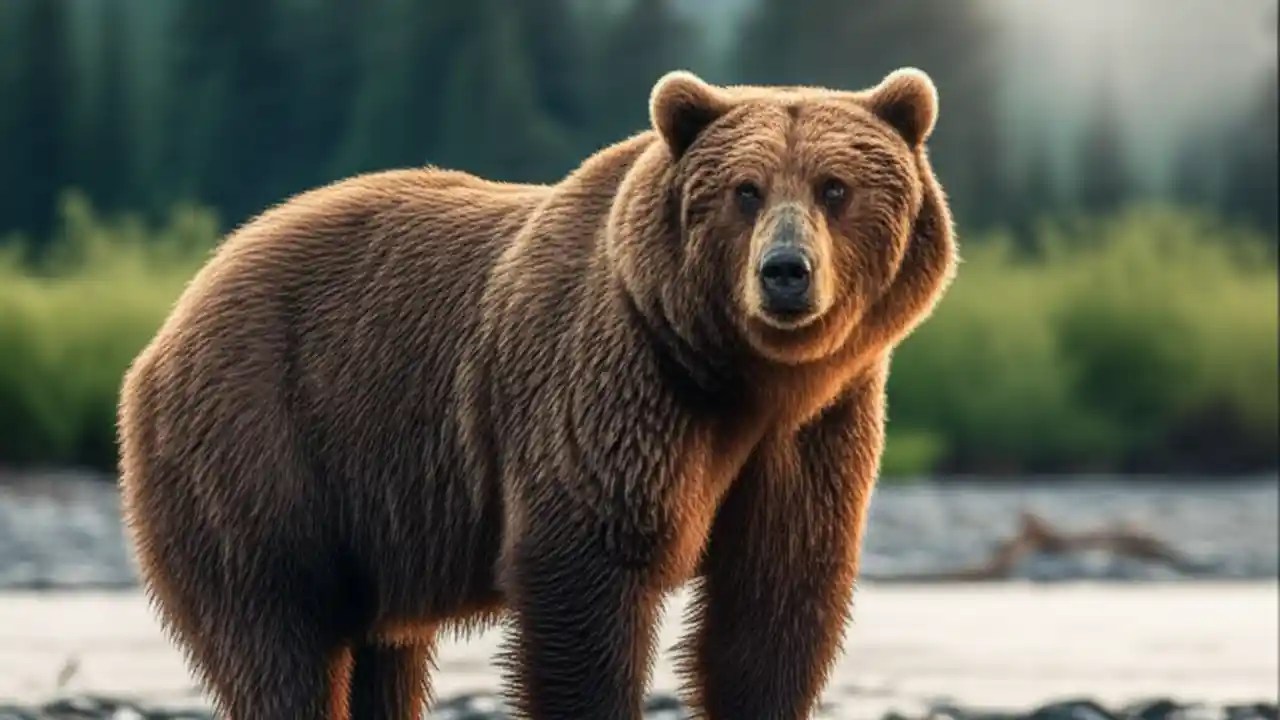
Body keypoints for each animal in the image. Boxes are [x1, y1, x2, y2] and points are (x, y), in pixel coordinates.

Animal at [117, 67, 956, 720]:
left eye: (835, 187)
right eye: (745, 191)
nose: (785, 271)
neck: (744, 379)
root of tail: (181, 308)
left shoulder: (815, 428)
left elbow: (776, 603)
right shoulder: (611, 387)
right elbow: (586, 578)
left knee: (383, 654)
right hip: (263, 444)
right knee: (278, 633)